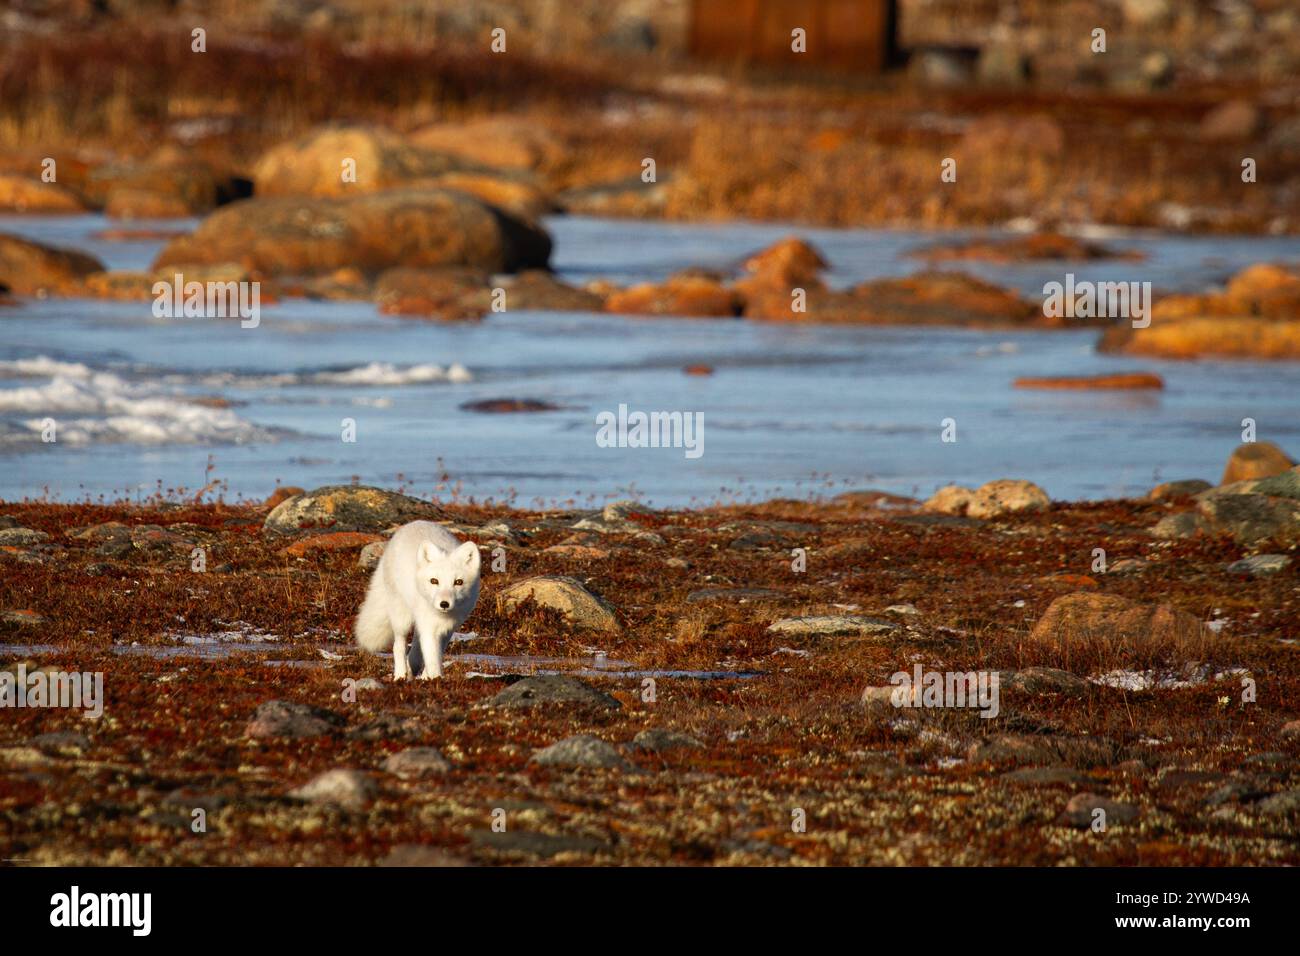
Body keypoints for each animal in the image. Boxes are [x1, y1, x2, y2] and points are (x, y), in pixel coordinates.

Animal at [354, 521, 481, 680]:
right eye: (434, 581)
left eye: (458, 582)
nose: (444, 604)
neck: (442, 616)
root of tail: (410, 524)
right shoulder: (429, 627)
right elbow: (432, 657)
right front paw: (436, 679)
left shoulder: (448, 629)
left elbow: (436, 654)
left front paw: (427, 677)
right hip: (402, 618)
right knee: (399, 646)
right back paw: (400, 676)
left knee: (415, 647)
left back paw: (411, 671)